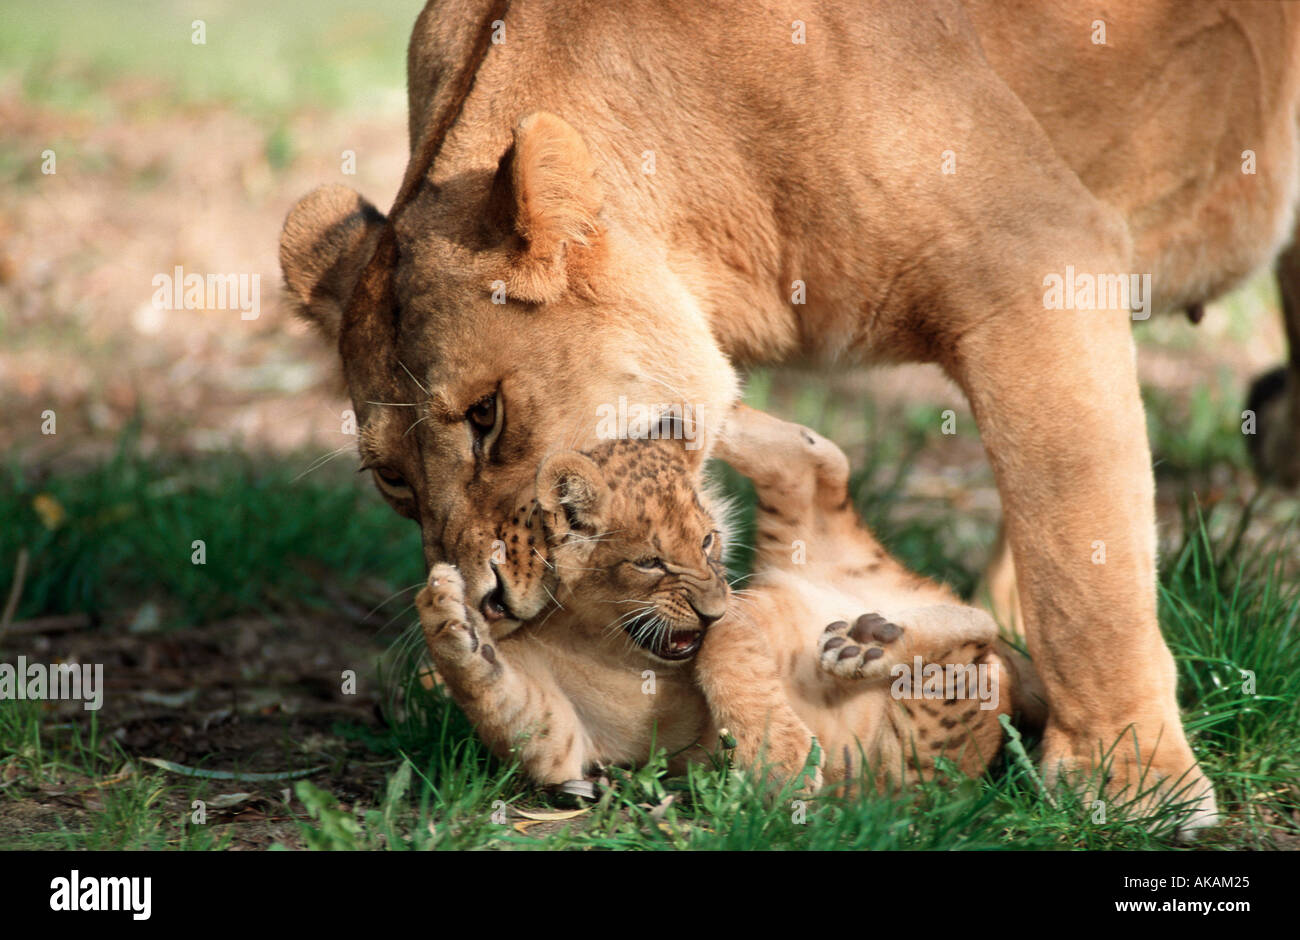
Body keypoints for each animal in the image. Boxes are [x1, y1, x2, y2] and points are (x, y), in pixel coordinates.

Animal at [416, 406, 1044, 791]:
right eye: (650, 562)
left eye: (708, 540)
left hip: (920, 743)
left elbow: (724, 653)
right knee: (818, 462)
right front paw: (447, 617)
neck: (603, 641)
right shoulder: (565, 741)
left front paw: (780, 761)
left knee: (983, 629)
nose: (711, 608)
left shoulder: (742, 609)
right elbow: (503, 702)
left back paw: (862, 643)